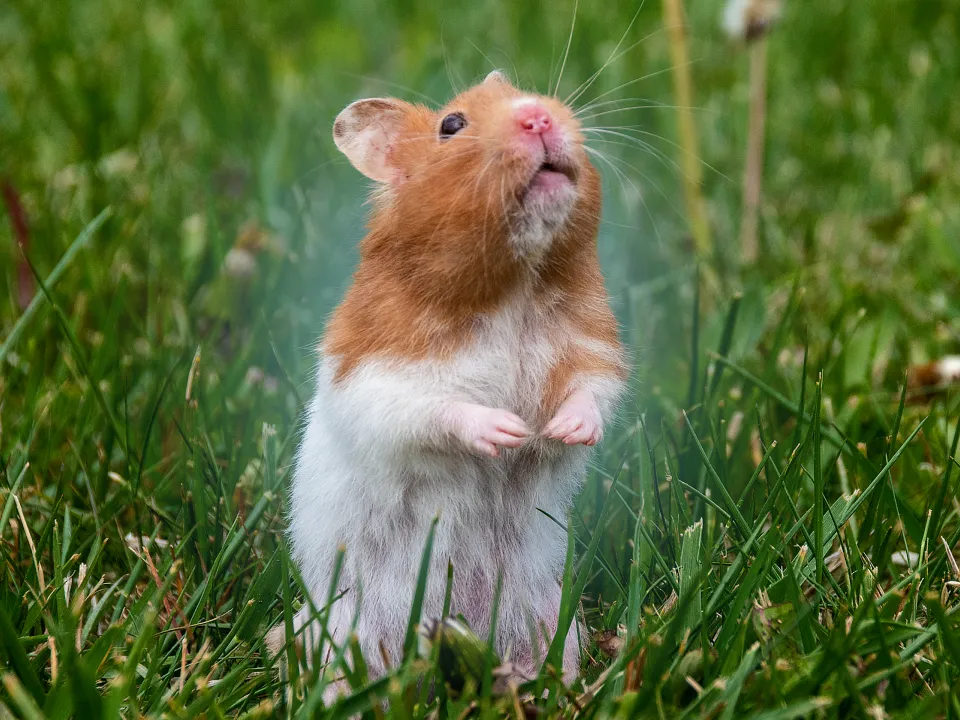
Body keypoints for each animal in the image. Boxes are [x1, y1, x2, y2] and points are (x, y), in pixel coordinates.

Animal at [277, 70, 627, 698]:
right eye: (452, 125)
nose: (538, 116)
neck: (515, 287)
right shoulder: (382, 380)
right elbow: (439, 410)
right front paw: (510, 432)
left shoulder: (595, 349)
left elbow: (592, 392)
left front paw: (560, 431)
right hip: (343, 629)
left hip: (547, 614)